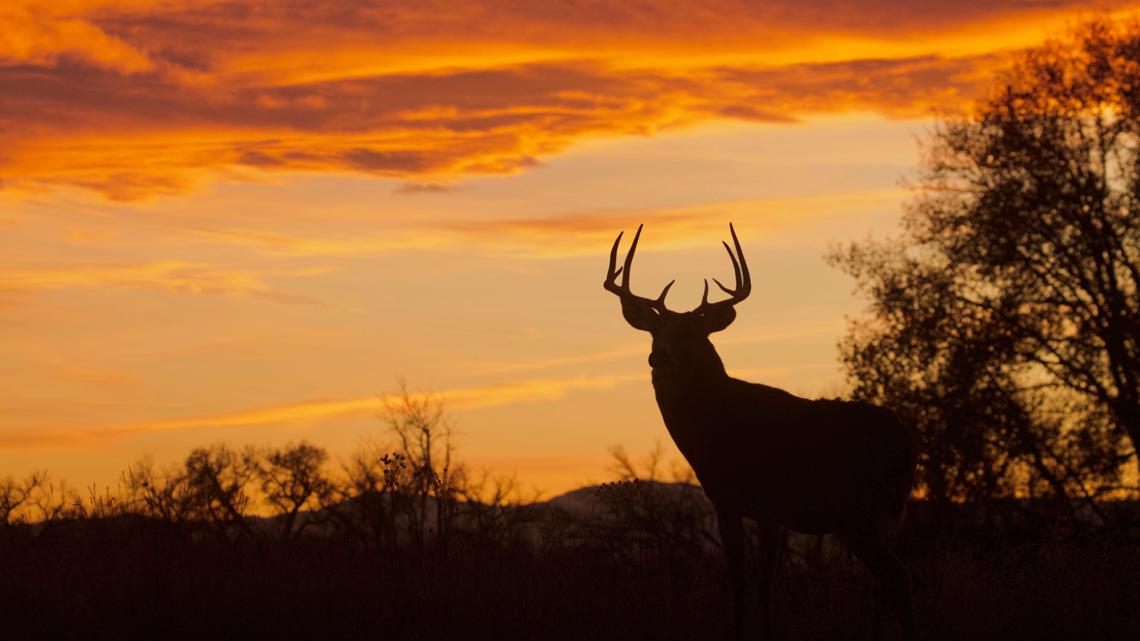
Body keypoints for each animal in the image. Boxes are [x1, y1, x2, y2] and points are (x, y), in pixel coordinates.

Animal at [603, 223, 918, 640]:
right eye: (655, 331)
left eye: (691, 332)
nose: (659, 357)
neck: (715, 426)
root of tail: (906, 442)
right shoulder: (744, 505)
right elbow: (753, 583)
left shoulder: (756, 501)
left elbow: (755, 583)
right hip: (882, 516)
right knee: (884, 584)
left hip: (860, 510)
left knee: (899, 576)